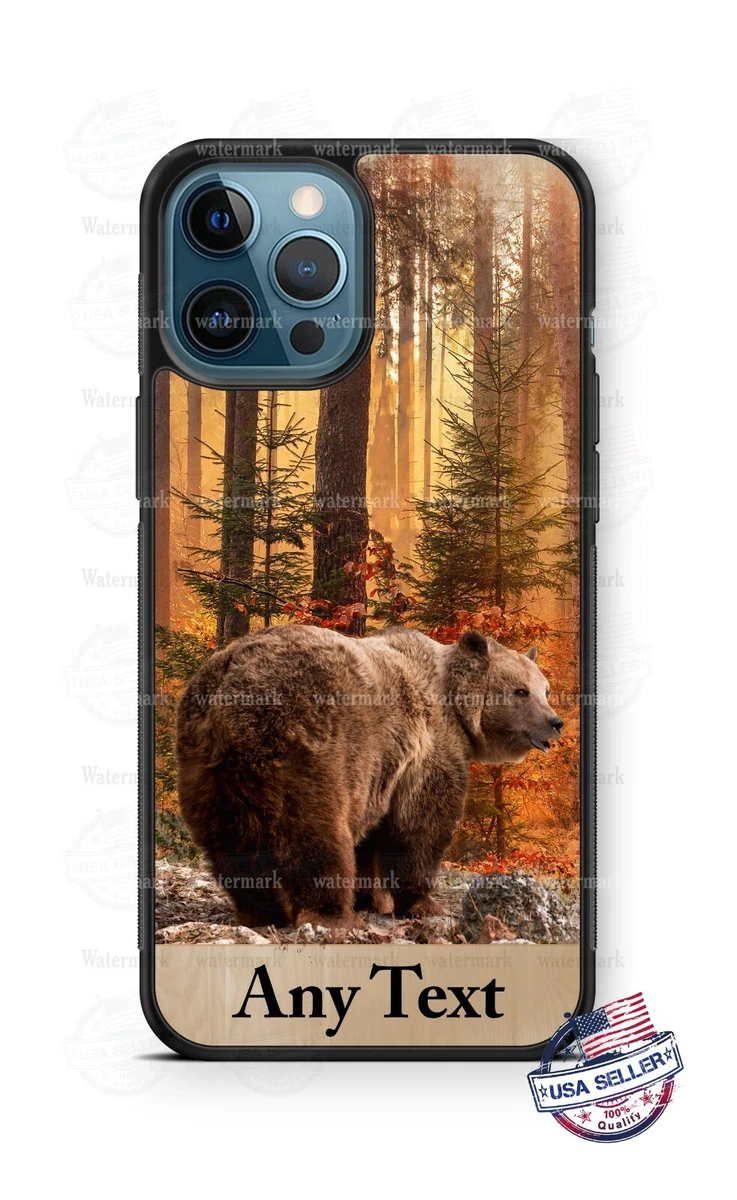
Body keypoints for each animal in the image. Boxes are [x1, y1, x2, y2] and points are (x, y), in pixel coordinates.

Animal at [175, 624, 563, 932]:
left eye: (544, 689)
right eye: (520, 690)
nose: (555, 722)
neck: (457, 710)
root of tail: (228, 686)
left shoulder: (383, 772)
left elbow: (374, 837)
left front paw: (372, 898)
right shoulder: (428, 751)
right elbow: (420, 827)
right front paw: (422, 902)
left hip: (209, 769)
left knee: (231, 843)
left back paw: (261, 912)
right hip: (309, 742)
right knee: (318, 833)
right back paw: (333, 914)